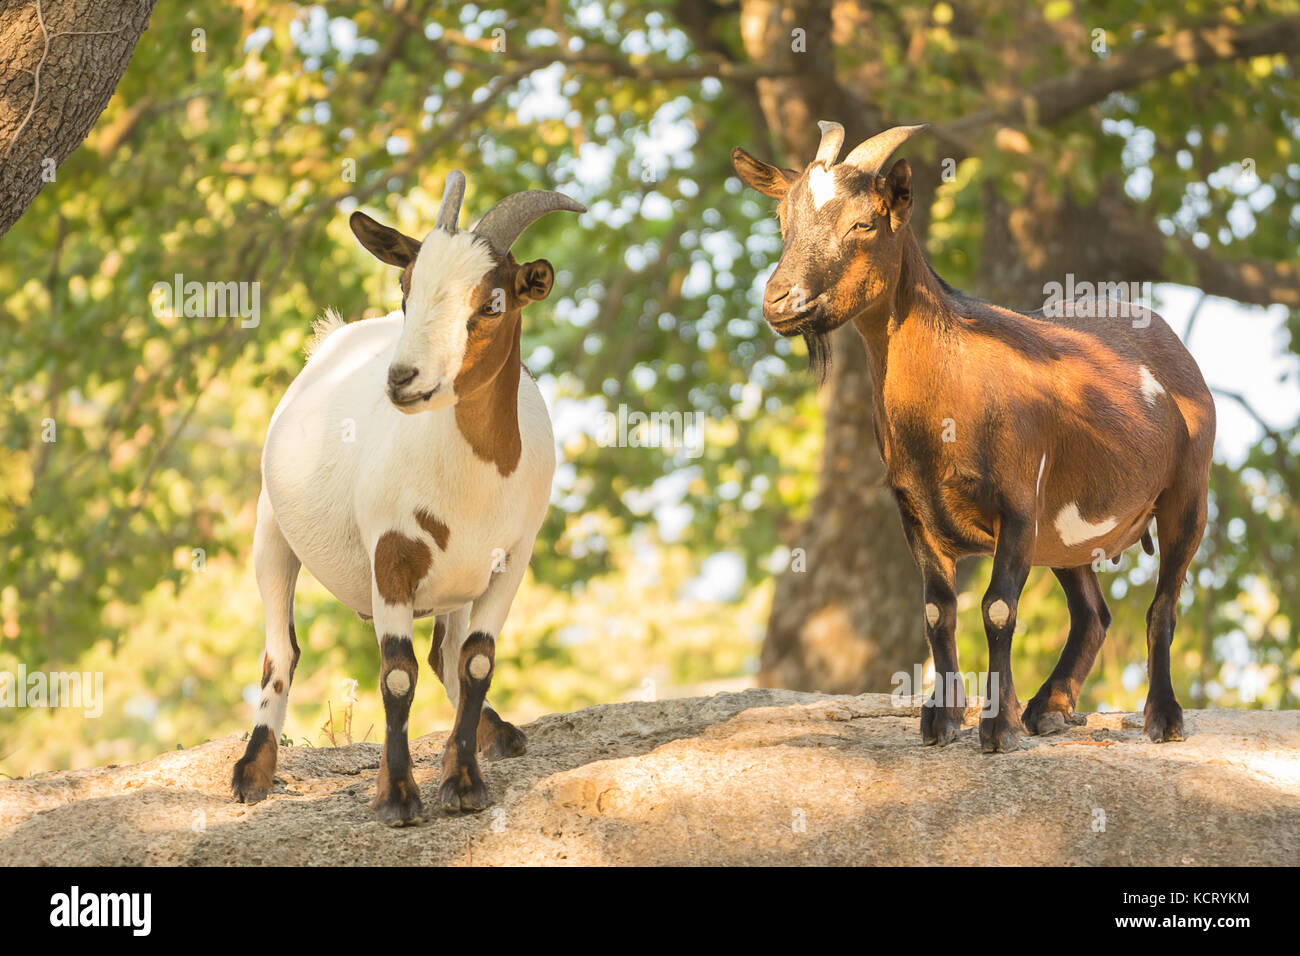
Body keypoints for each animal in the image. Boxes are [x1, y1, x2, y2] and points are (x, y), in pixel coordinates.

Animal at [231, 171, 584, 823]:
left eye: (493, 303)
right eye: (405, 289)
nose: (402, 379)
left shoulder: (512, 559)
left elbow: (476, 661)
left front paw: (464, 782)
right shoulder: (390, 552)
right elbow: (397, 675)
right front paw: (396, 794)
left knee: (449, 649)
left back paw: (496, 732)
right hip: (271, 529)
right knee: (279, 652)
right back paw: (252, 771)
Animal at [733, 121, 1215, 752]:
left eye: (864, 223)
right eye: (782, 221)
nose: (781, 300)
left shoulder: (1017, 503)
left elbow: (998, 609)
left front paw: (997, 727)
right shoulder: (915, 511)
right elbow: (937, 611)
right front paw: (941, 720)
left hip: (1187, 494)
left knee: (1163, 605)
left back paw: (1163, 716)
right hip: (1062, 532)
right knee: (1093, 612)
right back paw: (1050, 707)